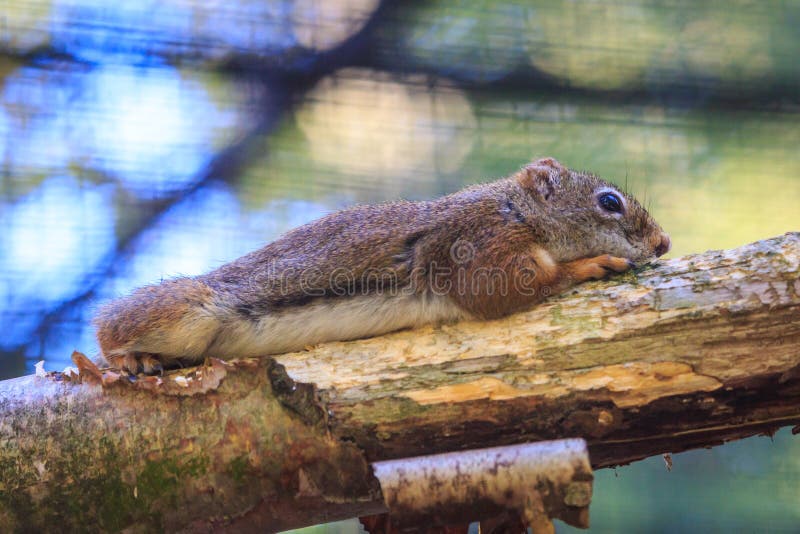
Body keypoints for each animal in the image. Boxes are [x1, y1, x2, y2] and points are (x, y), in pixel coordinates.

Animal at [95, 158, 671, 374]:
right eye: (610, 202)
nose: (663, 243)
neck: (517, 209)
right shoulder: (476, 244)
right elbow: (502, 292)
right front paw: (592, 263)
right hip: (190, 308)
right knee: (107, 330)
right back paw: (131, 359)